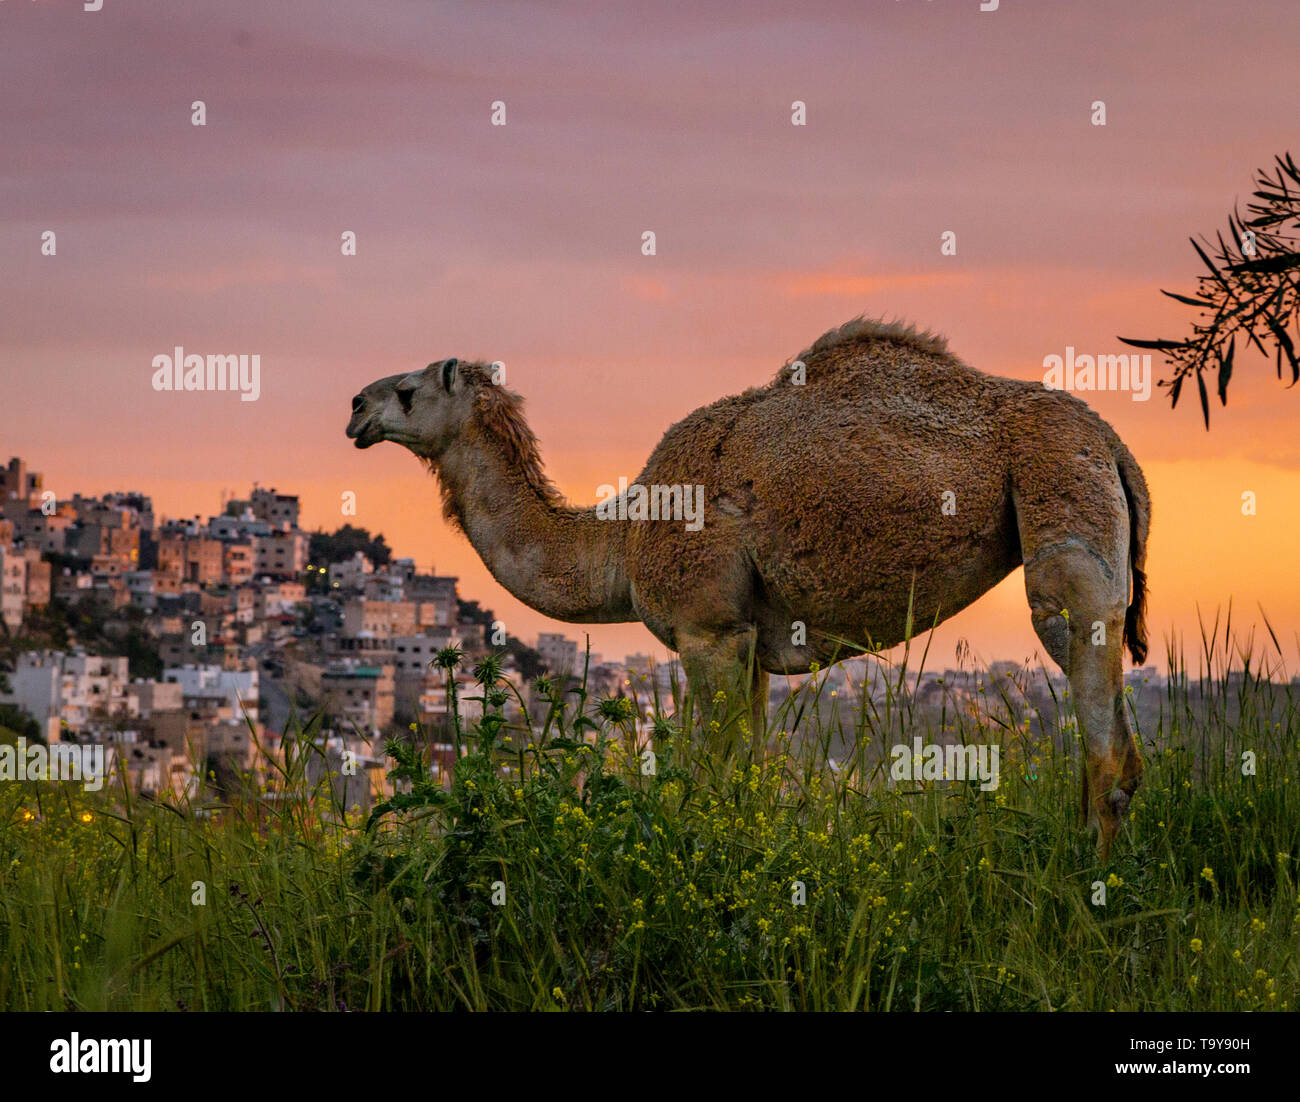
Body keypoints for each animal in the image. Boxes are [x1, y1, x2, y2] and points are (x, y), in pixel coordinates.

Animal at [346, 316, 1151, 856]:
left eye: (408, 390)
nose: (355, 407)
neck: (622, 539)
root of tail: (1114, 444)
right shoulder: (751, 645)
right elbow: (749, 778)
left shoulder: (709, 631)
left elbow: (713, 779)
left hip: (1060, 502)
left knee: (1098, 720)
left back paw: (1092, 890)